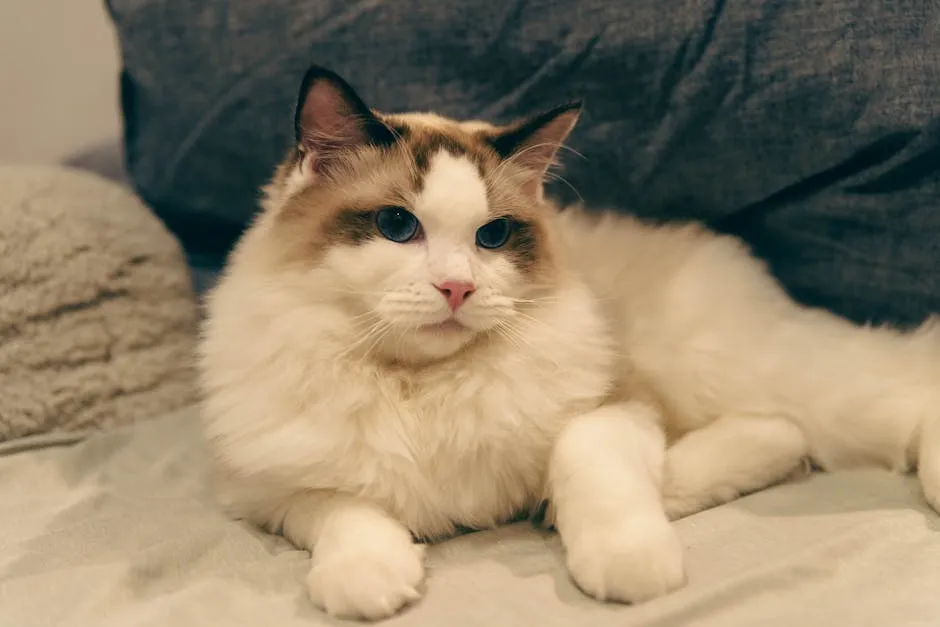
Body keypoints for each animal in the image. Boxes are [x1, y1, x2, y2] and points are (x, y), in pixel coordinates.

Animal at [198, 66, 940, 620]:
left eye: (492, 236)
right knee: (771, 441)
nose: (457, 288)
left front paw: (629, 566)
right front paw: (372, 576)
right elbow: (339, 509)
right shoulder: (265, 491)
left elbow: (585, 456)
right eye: (396, 226)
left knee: (898, 384)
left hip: (747, 372)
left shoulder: (616, 405)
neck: (424, 386)